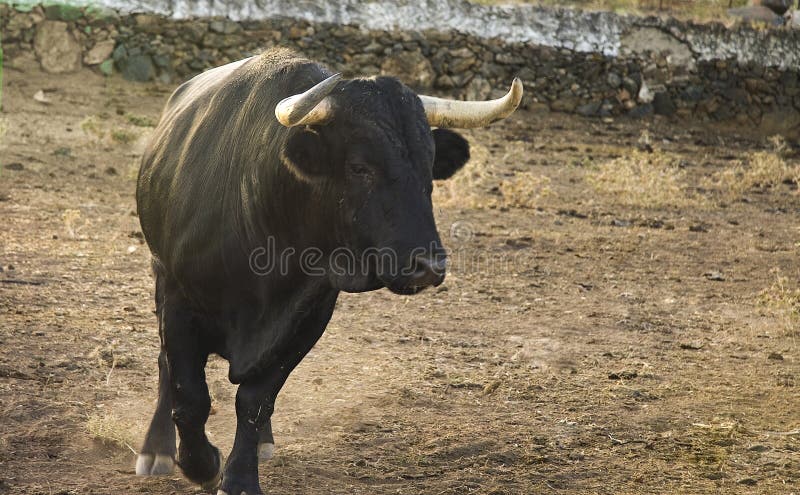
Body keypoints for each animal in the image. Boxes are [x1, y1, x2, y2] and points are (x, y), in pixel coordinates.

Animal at [134, 47, 522, 495]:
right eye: (359, 167)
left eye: (429, 169)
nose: (429, 265)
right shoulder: (178, 303)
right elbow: (190, 395)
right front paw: (200, 463)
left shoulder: (308, 318)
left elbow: (255, 400)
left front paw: (241, 477)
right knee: (167, 369)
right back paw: (158, 448)